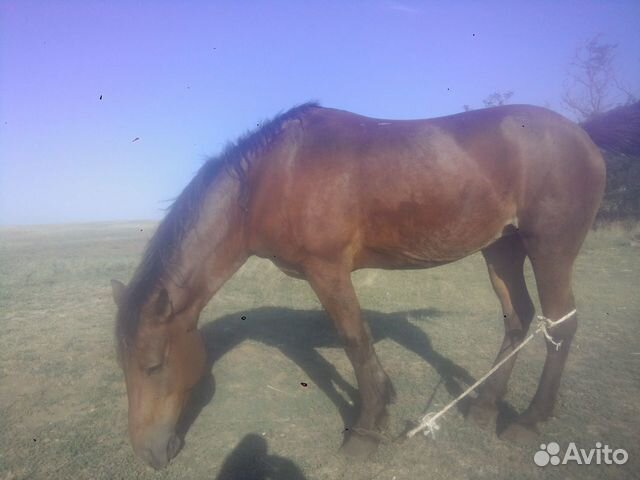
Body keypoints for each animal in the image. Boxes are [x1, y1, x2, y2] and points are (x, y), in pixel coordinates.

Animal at [111, 102, 605, 469]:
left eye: (153, 366)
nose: (148, 453)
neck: (271, 176)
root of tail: (586, 142)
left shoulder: (327, 271)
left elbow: (355, 340)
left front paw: (367, 429)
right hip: (502, 249)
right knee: (518, 319)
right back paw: (484, 408)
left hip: (550, 248)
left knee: (560, 325)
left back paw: (529, 421)